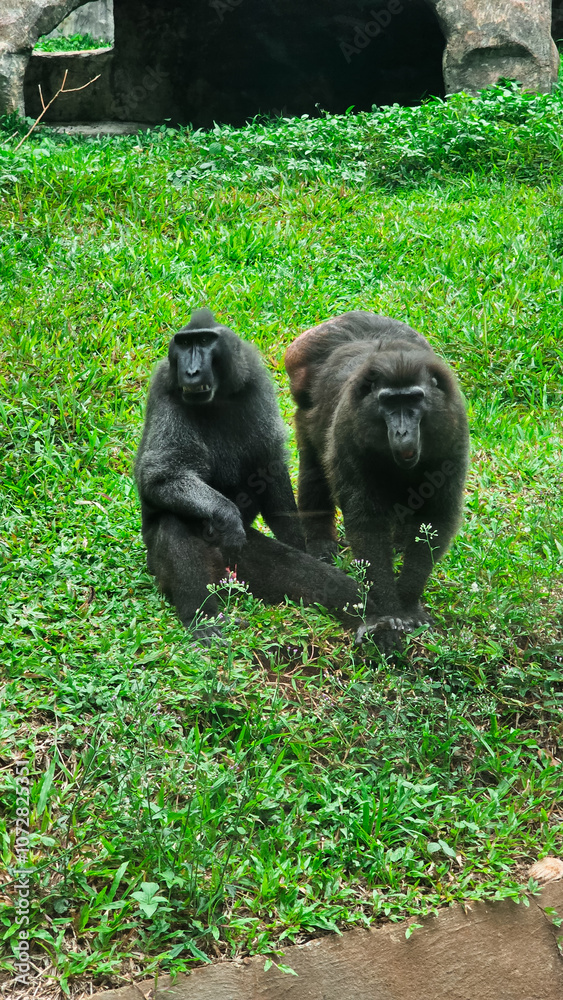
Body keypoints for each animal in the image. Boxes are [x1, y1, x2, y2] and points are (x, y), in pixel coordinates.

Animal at [134, 308, 379, 641]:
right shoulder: (164, 389)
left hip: (244, 561)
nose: (192, 371)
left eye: (204, 341)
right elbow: (160, 476)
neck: (217, 399)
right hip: (164, 564)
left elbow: (269, 467)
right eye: (184, 345)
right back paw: (203, 619)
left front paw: (300, 542)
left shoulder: (254, 384)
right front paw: (225, 515)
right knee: (174, 521)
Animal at [284, 311, 470, 651]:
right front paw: (387, 612)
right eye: (389, 403)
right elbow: (368, 523)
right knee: (314, 467)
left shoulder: (452, 426)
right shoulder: (349, 427)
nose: (402, 431)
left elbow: (435, 517)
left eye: (414, 400)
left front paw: (408, 601)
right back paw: (320, 541)